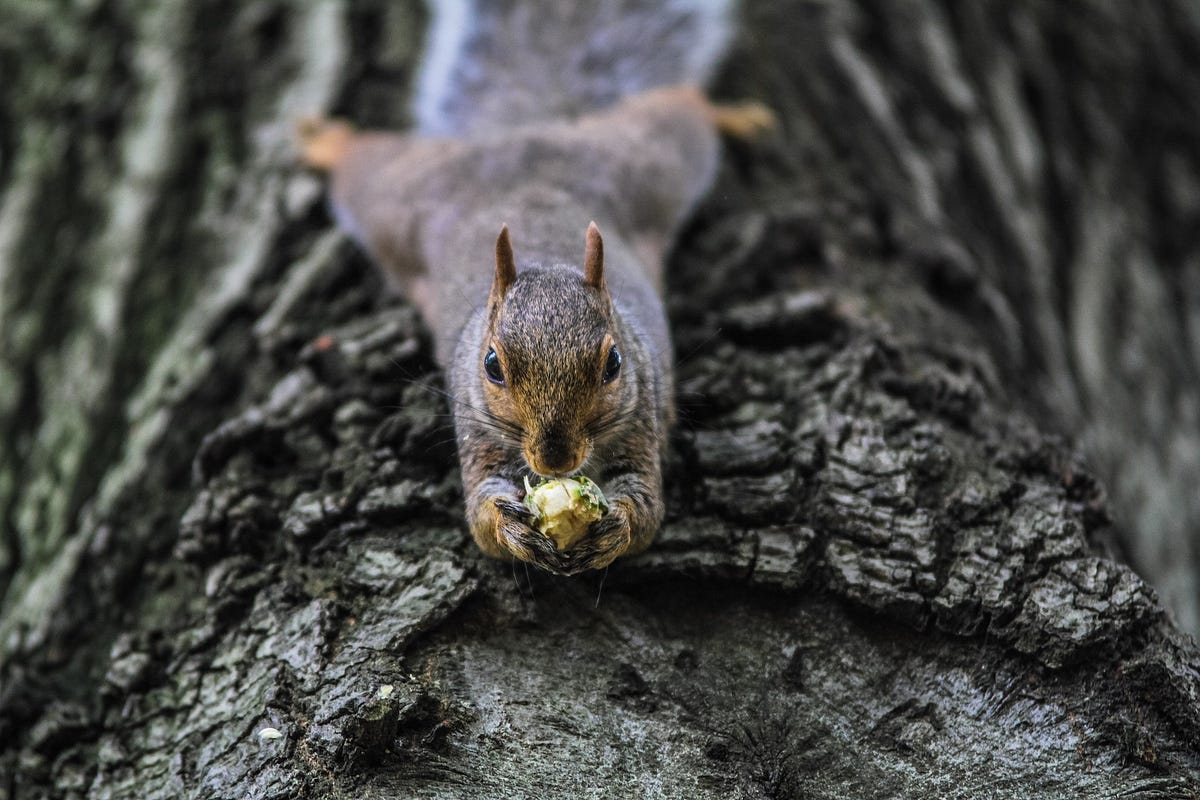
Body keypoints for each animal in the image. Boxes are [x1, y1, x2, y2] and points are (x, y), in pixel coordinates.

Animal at [299, 1, 771, 575]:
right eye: (492, 366)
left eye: (614, 364)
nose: (555, 460)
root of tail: (525, 133)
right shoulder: (478, 431)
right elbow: (481, 518)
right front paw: (510, 527)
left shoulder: (641, 419)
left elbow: (647, 510)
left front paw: (615, 527)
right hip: (397, 199)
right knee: (363, 164)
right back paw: (326, 139)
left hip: (650, 161)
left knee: (682, 107)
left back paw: (736, 115)